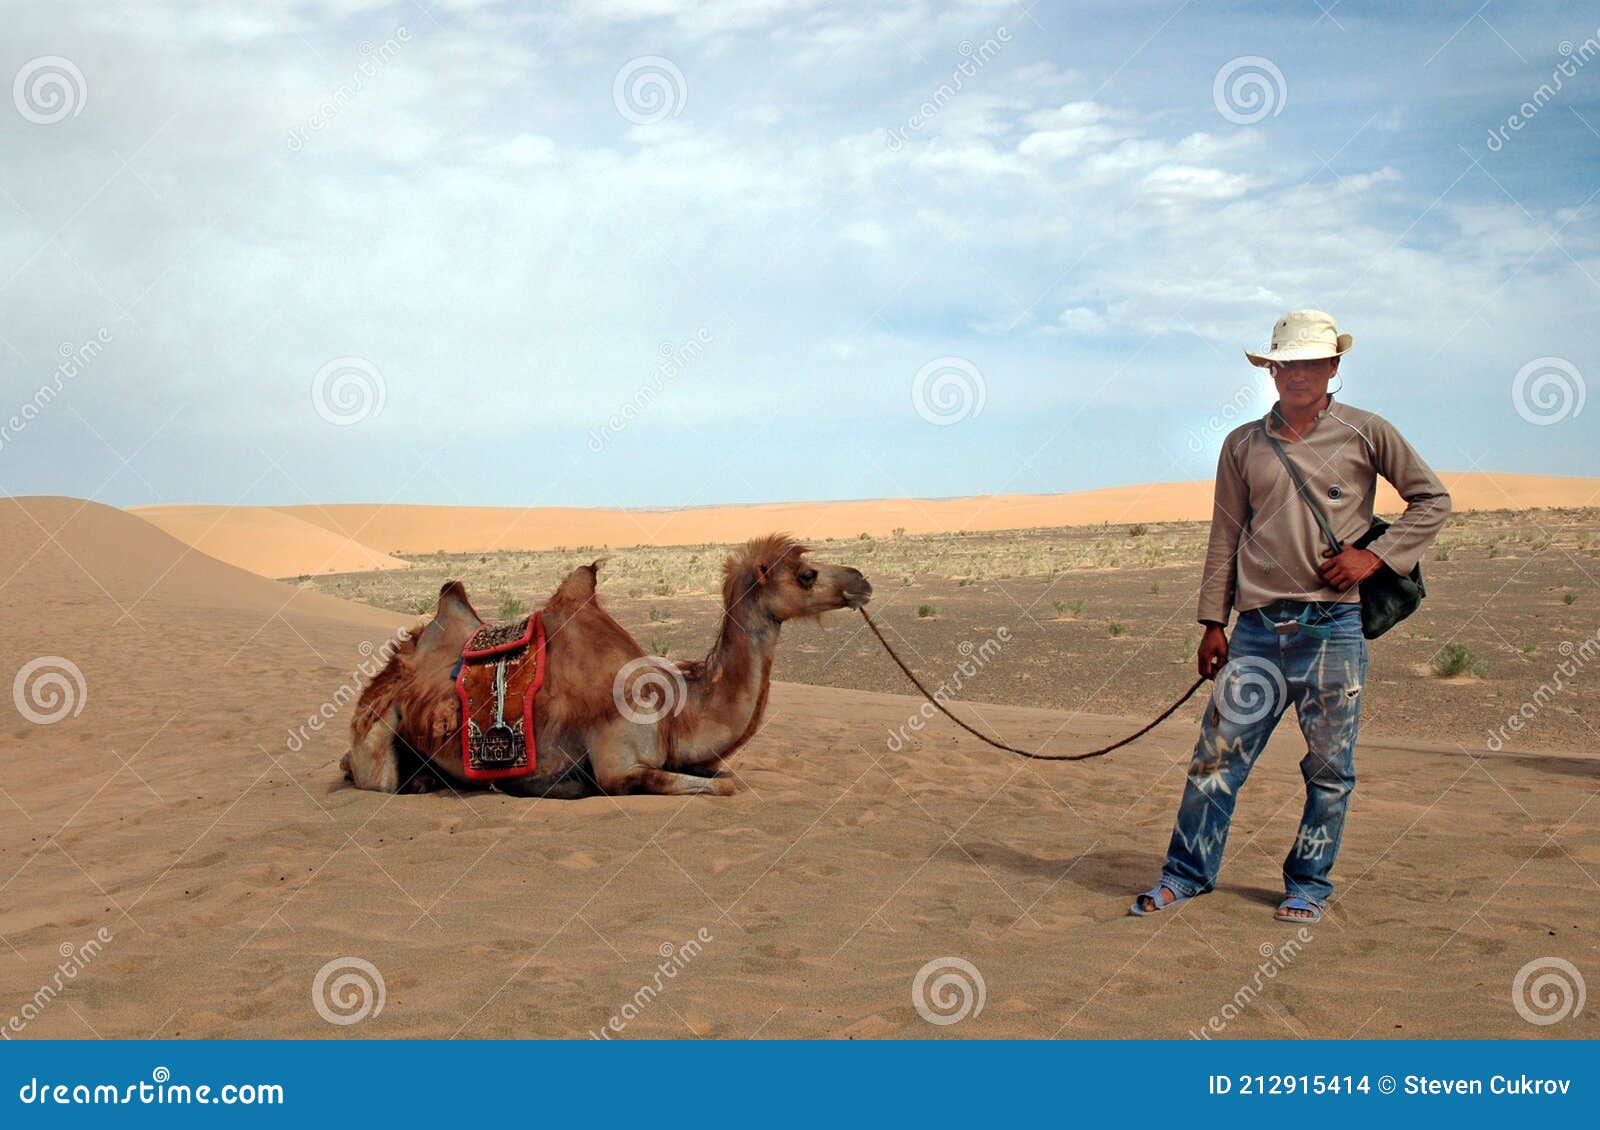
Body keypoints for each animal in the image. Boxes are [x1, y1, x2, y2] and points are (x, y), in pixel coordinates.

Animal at [342, 534, 871, 798]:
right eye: (807, 575)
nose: (862, 581)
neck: (673, 709)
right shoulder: (619, 767)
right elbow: (723, 788)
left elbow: (727, 777)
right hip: (376, 741)